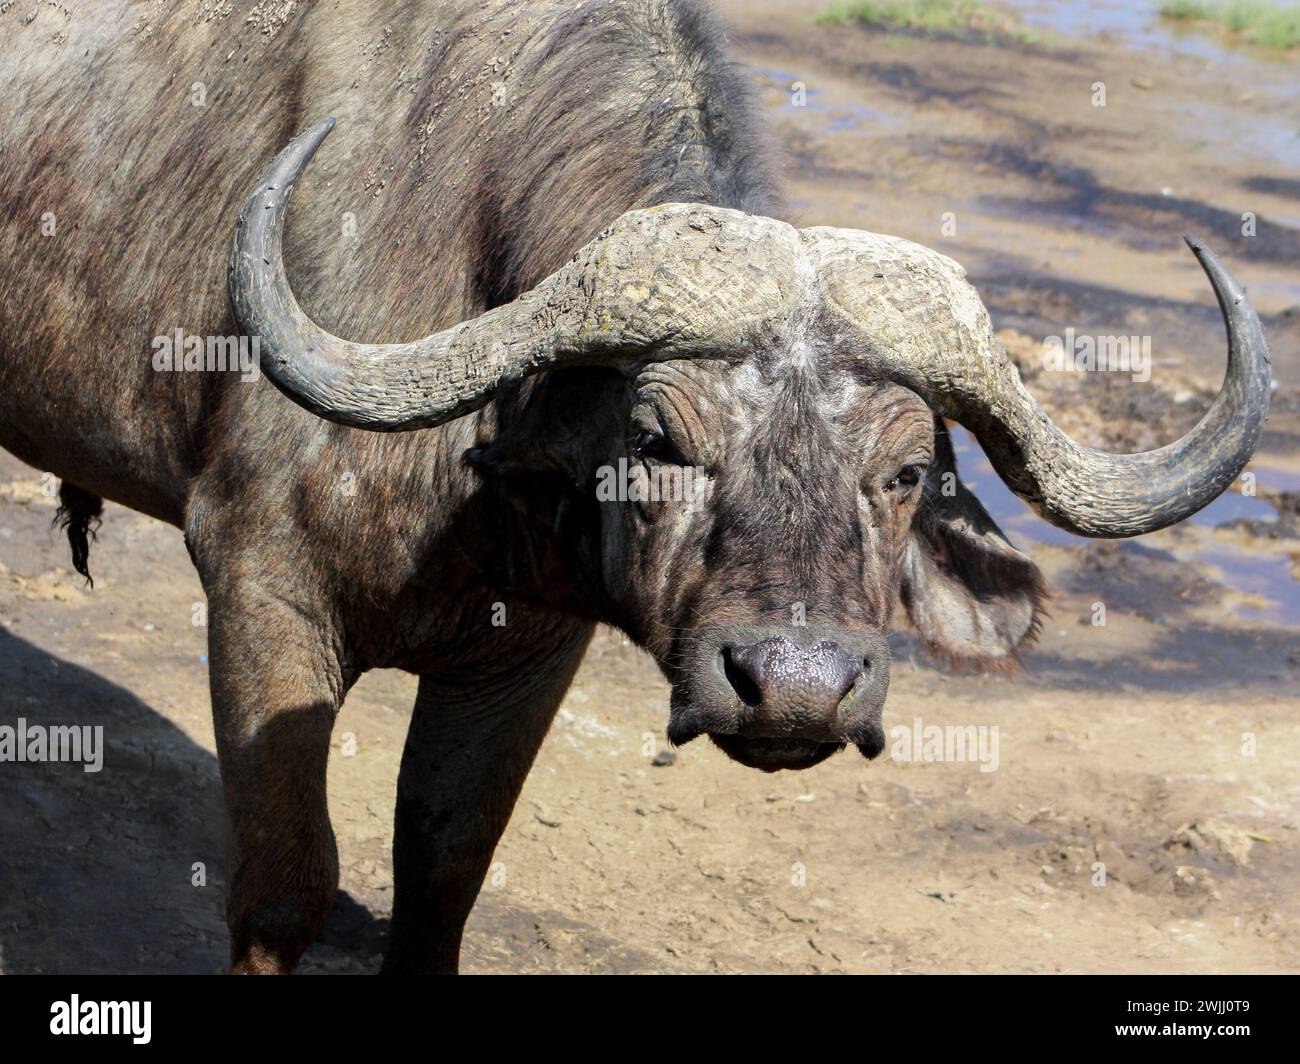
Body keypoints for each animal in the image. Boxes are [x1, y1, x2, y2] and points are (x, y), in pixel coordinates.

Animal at [0, 0, 1269, 973]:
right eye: (659, 438)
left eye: (907, 471)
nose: (796, 687)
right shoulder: (263, 593)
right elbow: (284, 887)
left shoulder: (527, 646)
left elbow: (444, 867)